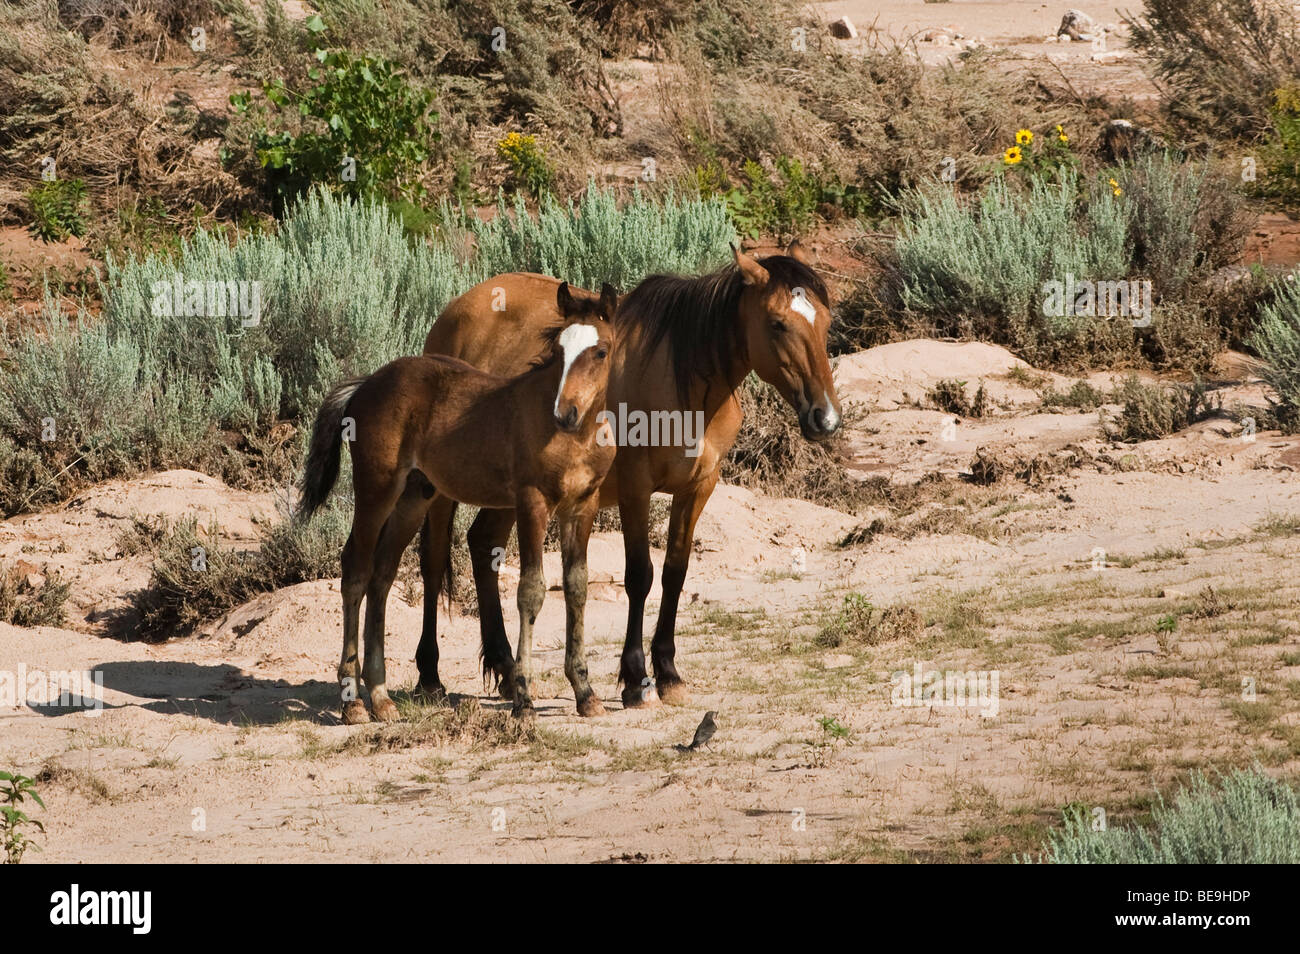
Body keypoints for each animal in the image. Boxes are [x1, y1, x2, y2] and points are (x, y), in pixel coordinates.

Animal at [298, 282, 620, 723]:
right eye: (558, 350)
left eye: (600, 351)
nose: (565, 413)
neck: (577, 438)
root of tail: (365, 384)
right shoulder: (531, 504)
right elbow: (531, 590)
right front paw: (523, 699)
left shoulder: (582, 506)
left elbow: (576, 587)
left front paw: (585, 691)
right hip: (377, 488)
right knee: (356, 569)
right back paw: (353, 703)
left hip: (414, 497)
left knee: (383, 573)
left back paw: (381, 696)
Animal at [414, 243, 842, 710]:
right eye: (778, 323)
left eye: (826, 320)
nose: (825, 418)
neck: (682, 385)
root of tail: (457, 309)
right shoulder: (636, 489)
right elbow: (640, 576)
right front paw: (636, 678)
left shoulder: (699, 488)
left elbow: (675, 571)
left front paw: (668, 672)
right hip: (441, 488)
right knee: (432, 561)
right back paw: (430, 675)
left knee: (482, 544)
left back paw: (508, 672)